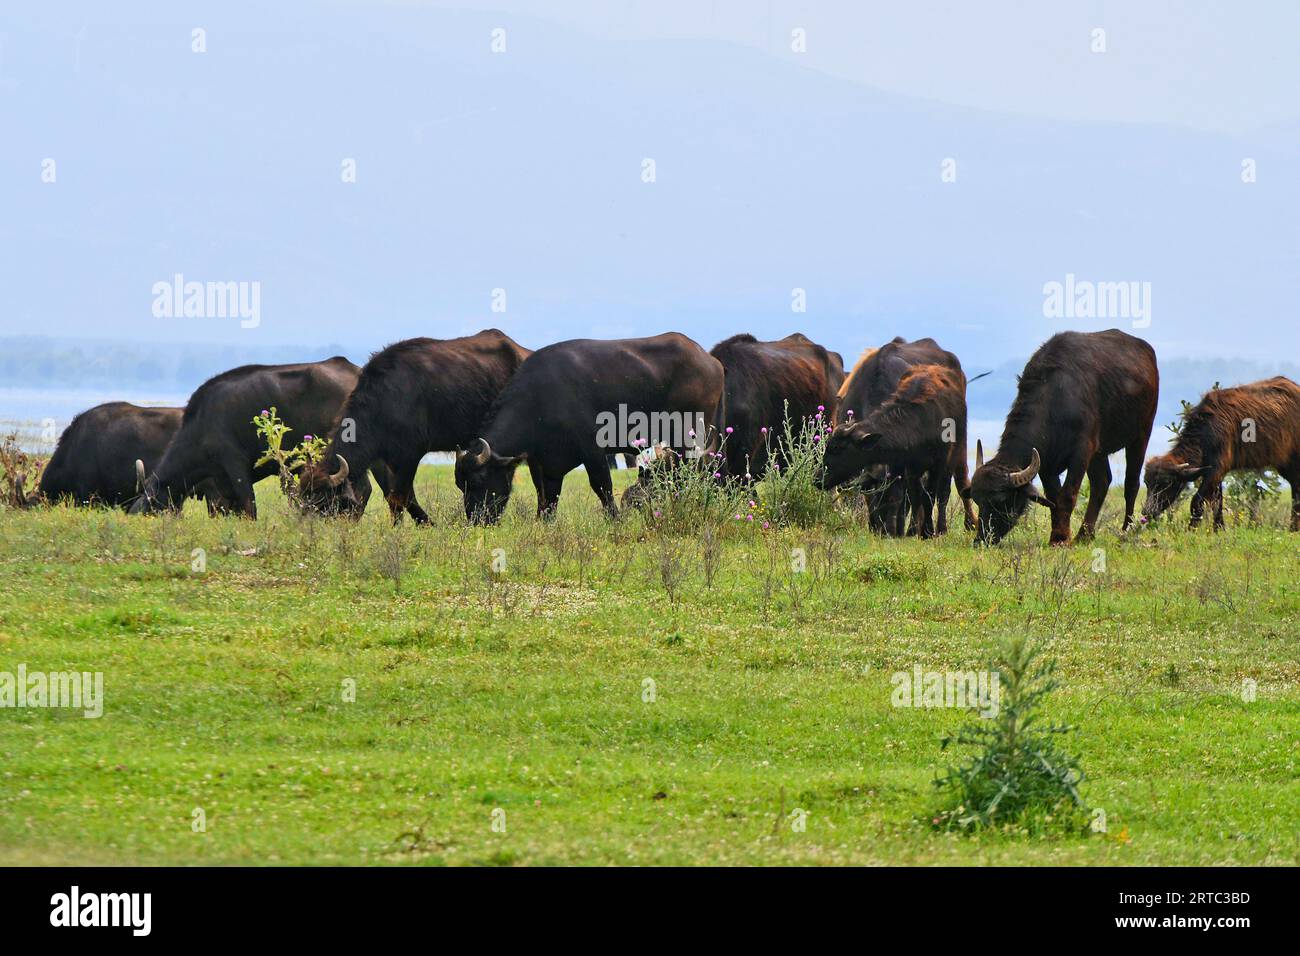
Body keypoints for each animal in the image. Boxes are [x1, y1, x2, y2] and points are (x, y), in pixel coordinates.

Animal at [131, 357, 382, 518]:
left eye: (149, 506)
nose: (133, 515)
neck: (200, 425)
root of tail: (356, 372)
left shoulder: (235, 466)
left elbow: (249, 508)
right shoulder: (221, 486)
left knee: (363, 490)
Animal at [299, 330, 531, 521]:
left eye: (323, 503)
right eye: (302, 500)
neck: (383, 400)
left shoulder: (410, 455)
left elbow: (399, 497)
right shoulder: (390, 460)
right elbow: (398, 496)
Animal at [455, 334, 725, 522]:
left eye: (479, 479)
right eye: (461, 484)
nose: (476, 520)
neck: (540, 400)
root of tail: (710, 360)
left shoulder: (593, 451)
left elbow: (602, 485)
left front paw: (615, 519)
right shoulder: (543, 462)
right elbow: (546, 494)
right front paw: (543, 521)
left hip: (688, 436)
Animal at [970, 329, 1158, 545]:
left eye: (1001, 500)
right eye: (977, 499)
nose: (981, 539)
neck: (1055, 398)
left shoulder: (1081, 452)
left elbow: (1067, 495)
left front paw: (1060, 539)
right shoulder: (1046, 462)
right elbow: (1054, 497)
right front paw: (1059, 535)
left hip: (1141, 434)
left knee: (1131, 483)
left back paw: (1126, 529)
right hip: (1099, 453)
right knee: (1101, 482)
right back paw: (1085, 534)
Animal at [1143, 376, 1300, 531]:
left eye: (1166, 483)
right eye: (1147, 483)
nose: (1147, 511)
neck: (1206, 432)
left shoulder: (1217, 469)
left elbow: (1197, 501)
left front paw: (1192, 529)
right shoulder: (1214, 472)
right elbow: (1217, 502)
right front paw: (1219, 528)